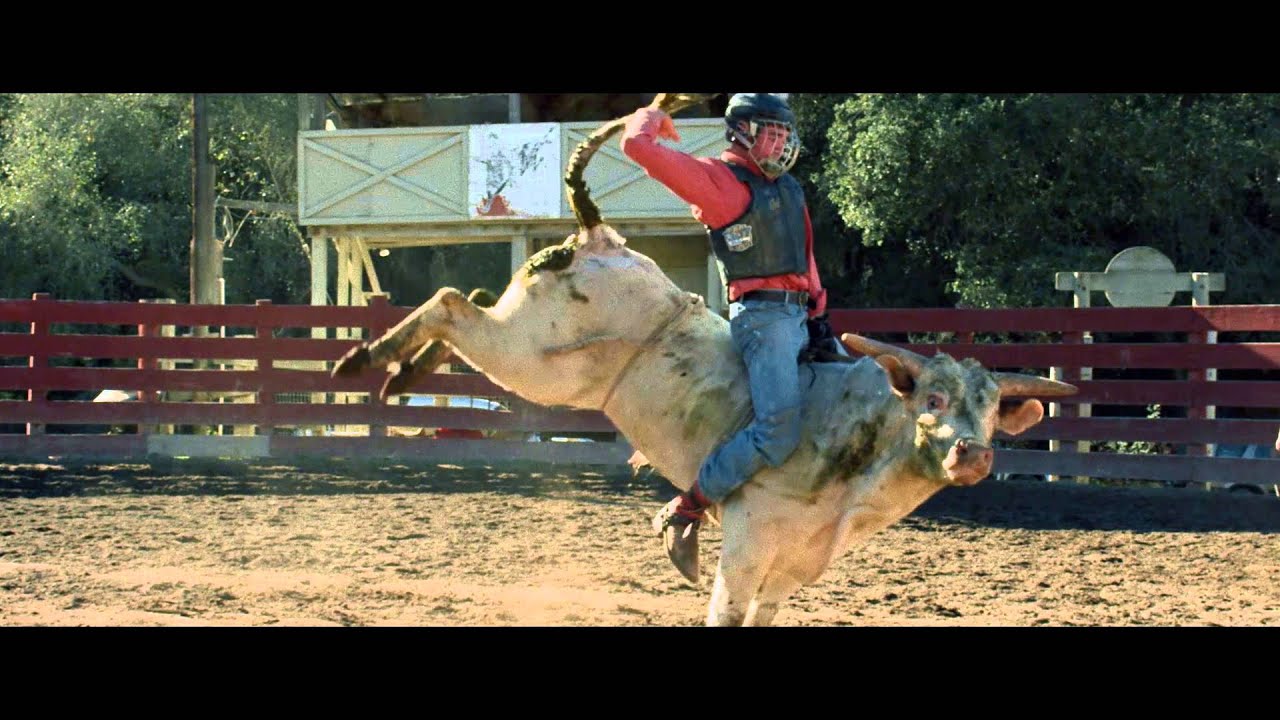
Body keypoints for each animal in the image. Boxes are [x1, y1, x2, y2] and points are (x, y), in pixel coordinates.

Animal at [332, 93, 1078, 626]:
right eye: (932, 399)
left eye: (992, 408)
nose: (974, 454)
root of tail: (597, 236)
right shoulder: (746, 548)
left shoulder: (788, 570)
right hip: (533, 359)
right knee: (452, 302)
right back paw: (367, 359)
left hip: (531, 349)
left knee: (469, 301)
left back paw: (404, 371)